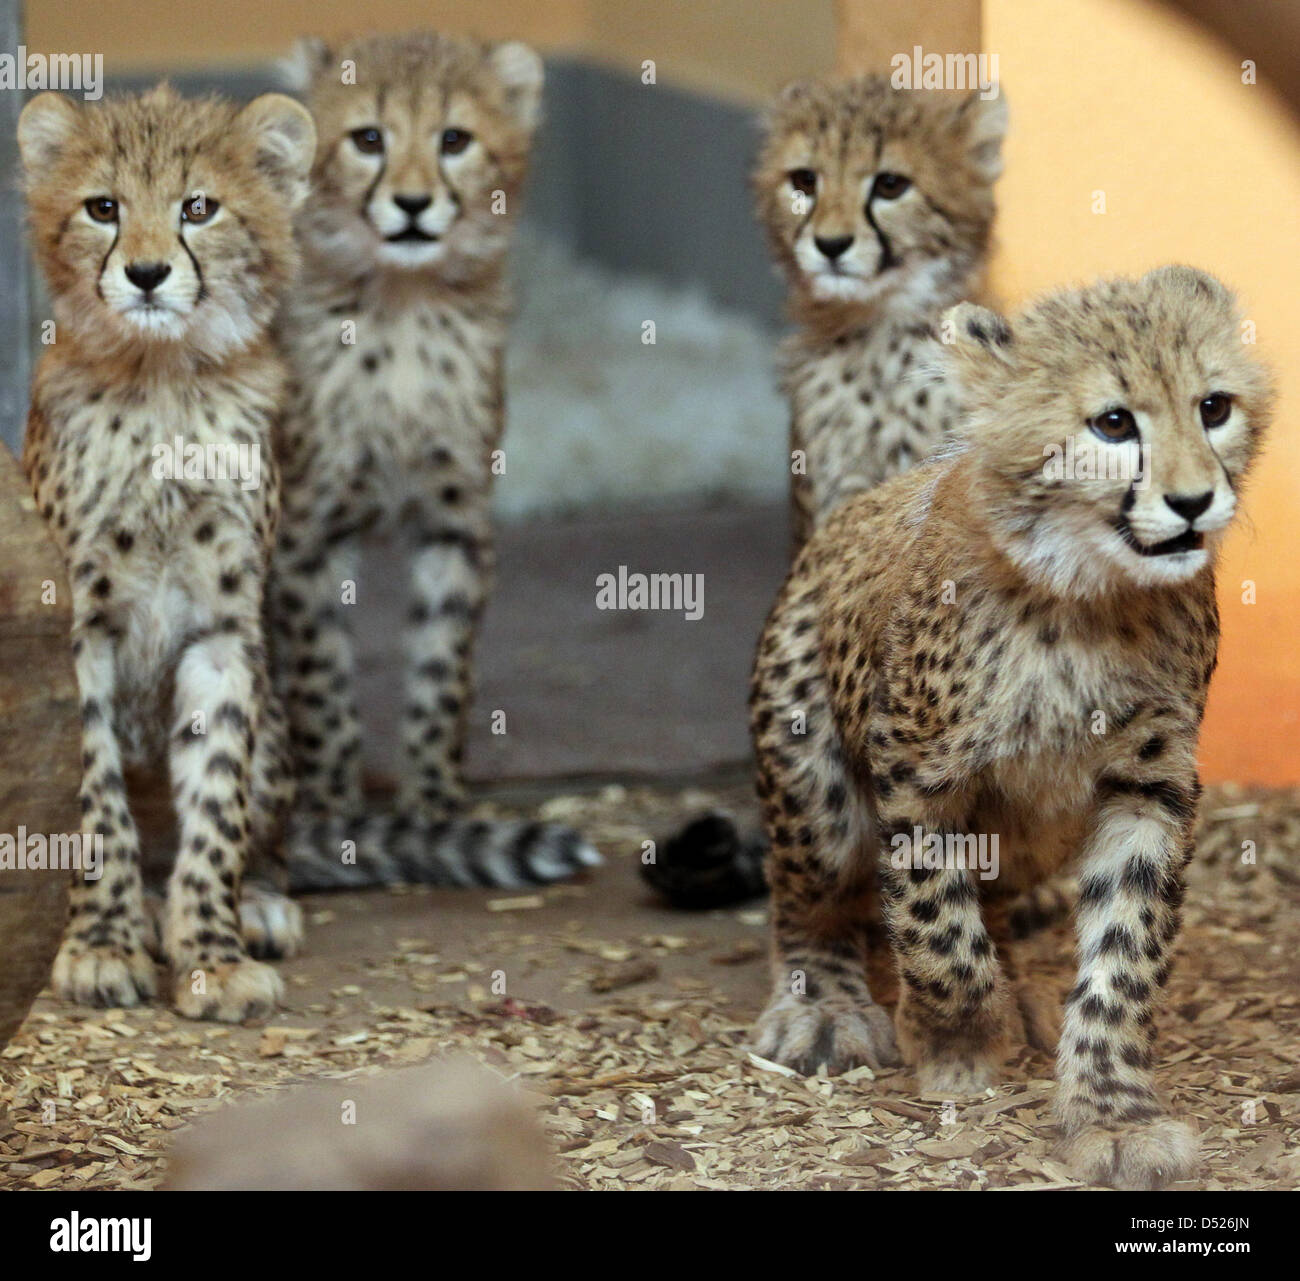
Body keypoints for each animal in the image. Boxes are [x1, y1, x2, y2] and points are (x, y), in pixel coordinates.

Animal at [18, 84, 317, 1020]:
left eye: (199, 208)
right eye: (102, 208)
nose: (146, 274)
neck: (162, 384)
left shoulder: (222, 635)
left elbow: (216, 802)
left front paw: (213, 954)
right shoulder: (75, 635)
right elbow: (94, 805)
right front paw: (101, 946)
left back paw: (256, 905)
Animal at [273, 30, 599, 890]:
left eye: (454, 140)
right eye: (368, 139)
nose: (414, 204)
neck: (403, 303)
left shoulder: (456, 519)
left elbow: (439, 670)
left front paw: (434, 807)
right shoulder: (306, 532)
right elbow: (322, 682)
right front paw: (336, 810)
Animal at [748, 265, 1272, 1189]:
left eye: (1214, 407)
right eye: (1112, 423)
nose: (1193, 501)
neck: (1085, 592)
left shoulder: (1149, 783)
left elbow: (1124, 954)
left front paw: (1113, 1112)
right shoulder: (919, 773)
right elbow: (937, 929)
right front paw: (951, 1039)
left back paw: (1023, 983)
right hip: (814, 783)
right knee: (813, 903)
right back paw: (826, 1004)